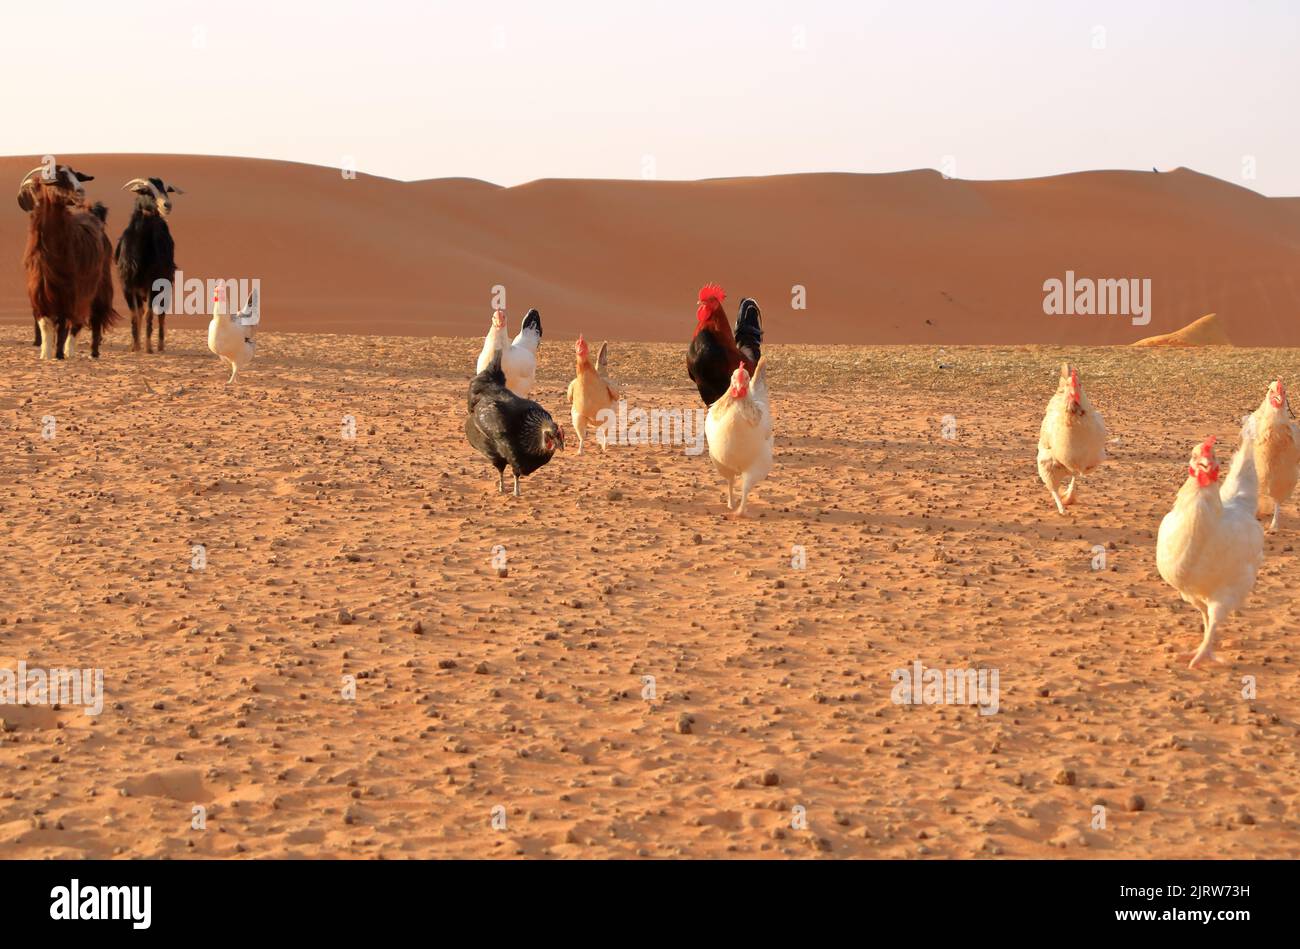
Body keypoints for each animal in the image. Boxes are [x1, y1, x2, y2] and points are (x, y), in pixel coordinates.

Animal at [17, 165, 118, 359]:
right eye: (57, 178)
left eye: (76, 176)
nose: (80, 192)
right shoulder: (40, 294)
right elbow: (45, 326)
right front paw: (45, 355)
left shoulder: (69, 293)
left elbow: (63, 324)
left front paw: (58, 355)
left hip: (99, 286)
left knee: (90, 318)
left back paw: (88, 353)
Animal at [115, 177, 183, 353]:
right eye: (147, 192)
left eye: (166, 190)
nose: (167, 205)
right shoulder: (127, 285)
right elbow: (135, 314)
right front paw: (135, 346)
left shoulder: (153, 284)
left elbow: (149, 314)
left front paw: (148, 347)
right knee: (141, 311)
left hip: (166, 286)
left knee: (162, 314)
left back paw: (160, 345)